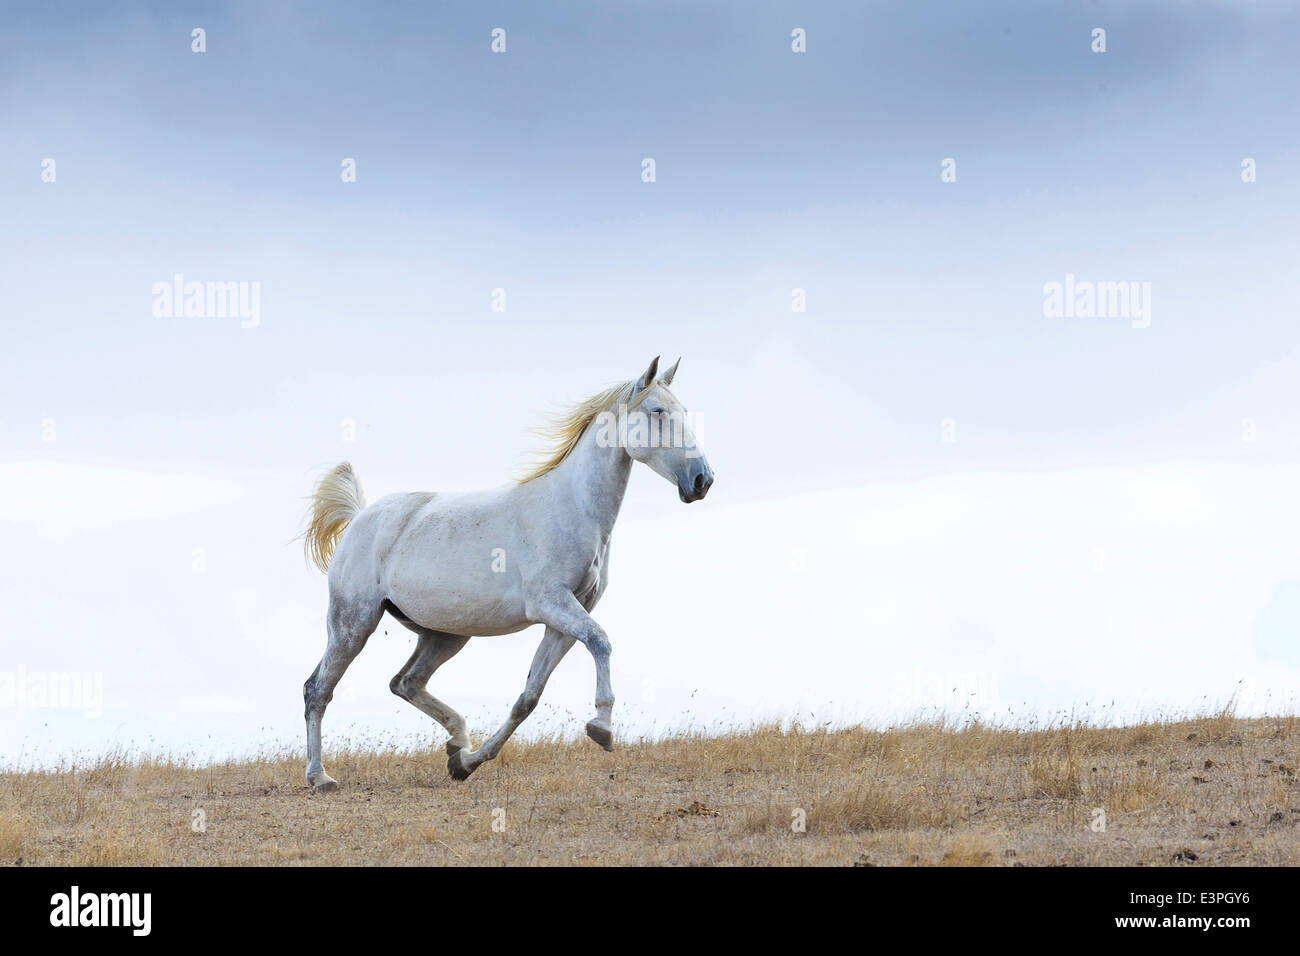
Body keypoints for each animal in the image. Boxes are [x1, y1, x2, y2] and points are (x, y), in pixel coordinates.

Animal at [299, 356, 714, 789]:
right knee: (318, 689)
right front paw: (601, 726)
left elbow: (528, 697)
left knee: (405, 682)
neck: (571, 507)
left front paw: (467, 763)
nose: (702, 480)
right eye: (658, 411)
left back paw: (457, 742)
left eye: (684, 411)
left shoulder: (566, 620)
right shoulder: (552, 604)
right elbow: (601, 642)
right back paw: (320, 777)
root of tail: (358, 518)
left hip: (446, 635)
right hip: (353, 624)